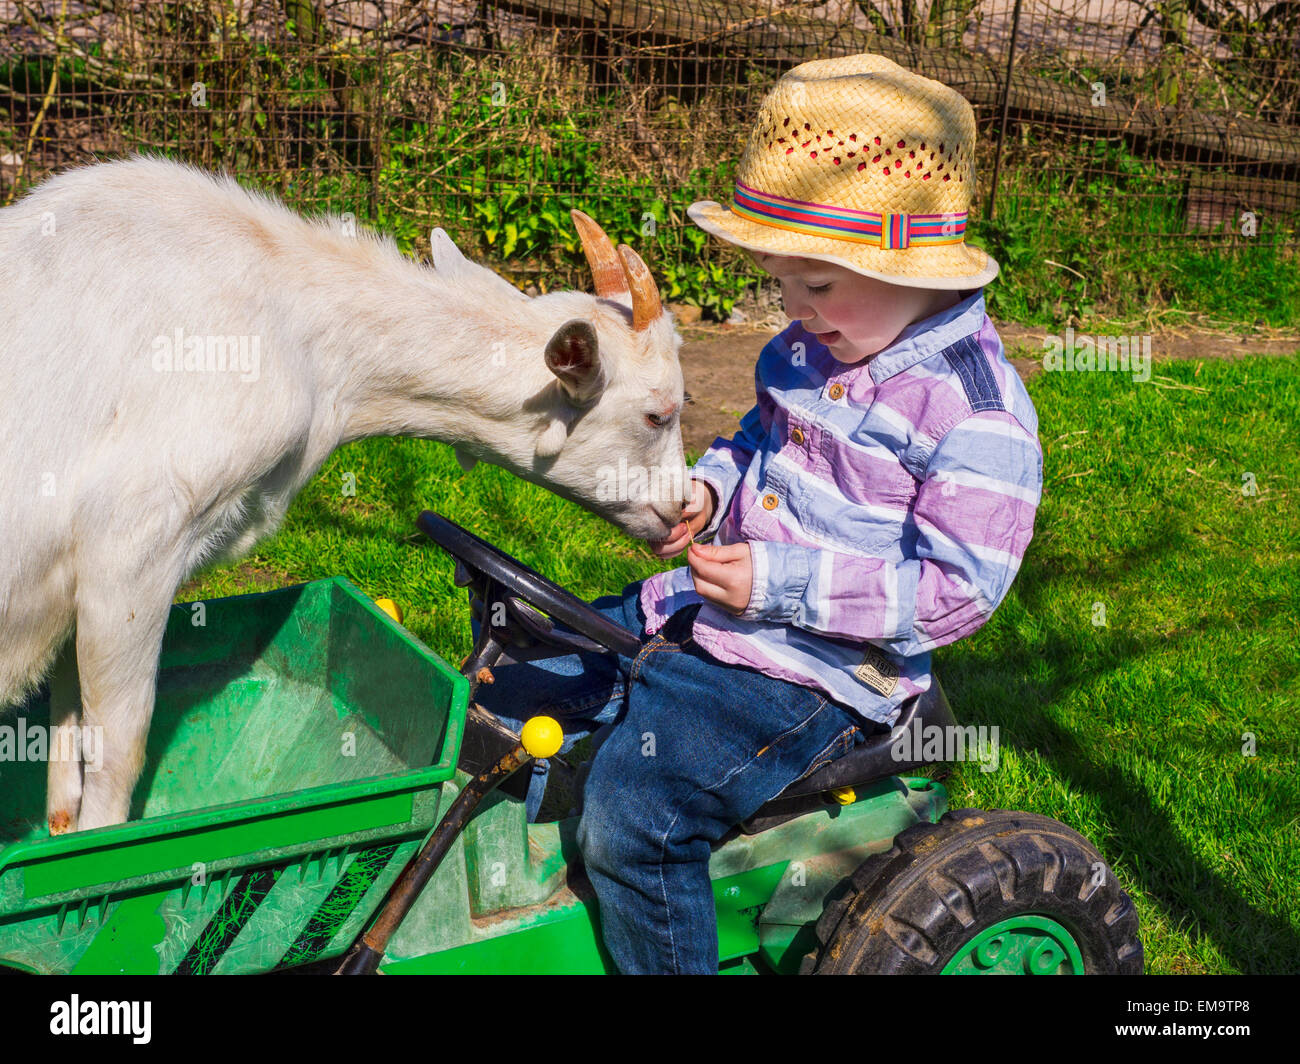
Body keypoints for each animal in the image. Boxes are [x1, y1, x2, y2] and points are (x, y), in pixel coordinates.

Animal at [0, 155, 690, 833]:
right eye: (659, 413)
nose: (685, 512)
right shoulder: (132, 542)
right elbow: (120, 747)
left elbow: (68, 719)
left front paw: (57, 823)